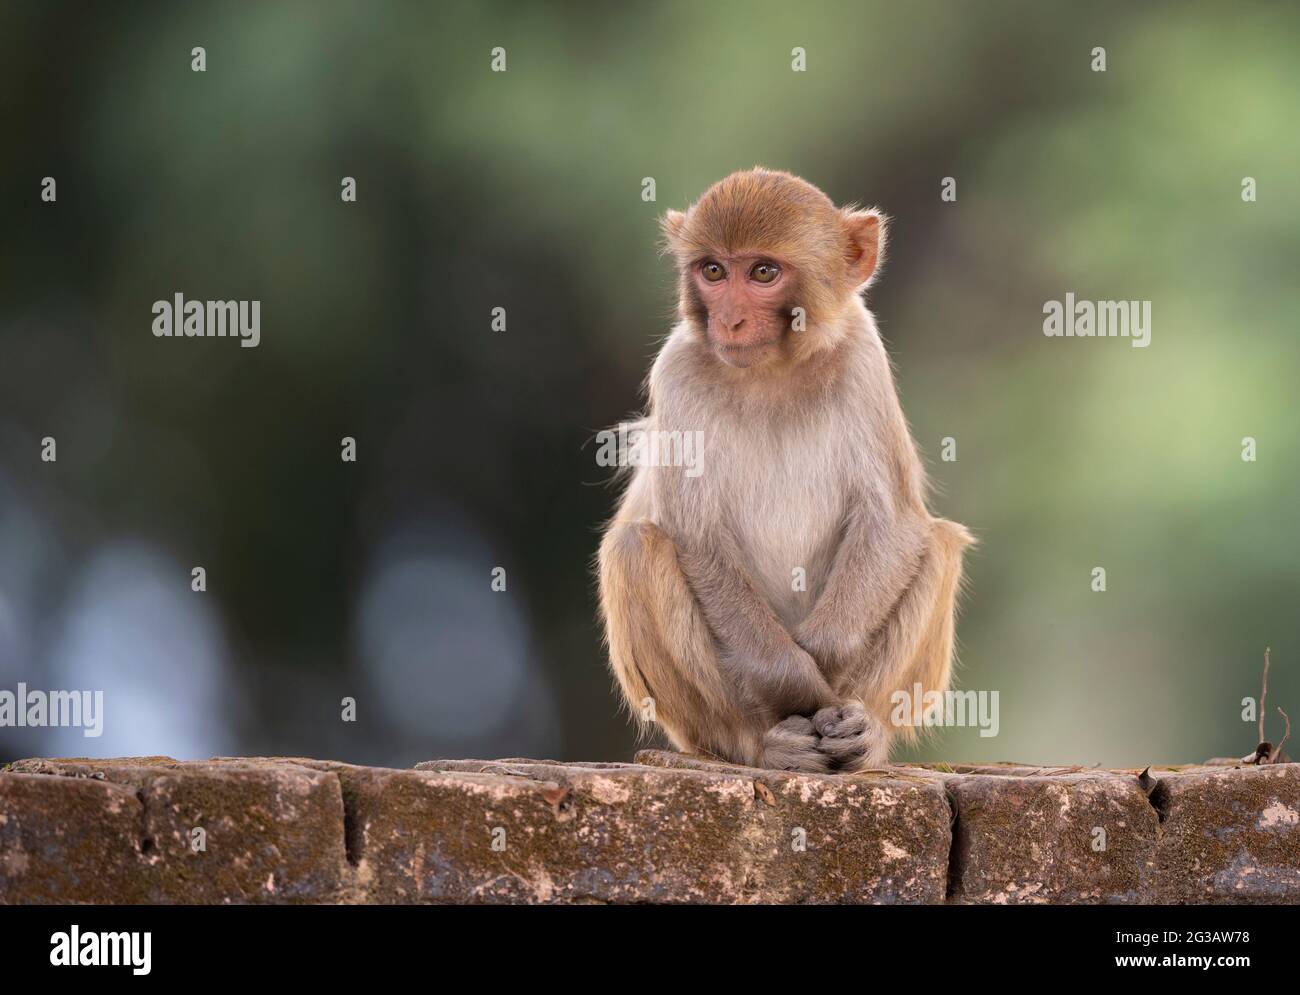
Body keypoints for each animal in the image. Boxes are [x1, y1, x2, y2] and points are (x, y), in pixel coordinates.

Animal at [597, 167, 972, 773]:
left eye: (764, 272)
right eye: (713, 270)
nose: (729, 320)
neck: (773, 369)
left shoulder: (862, 354)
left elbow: (892, 523)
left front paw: (822, 677)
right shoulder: (677, 368)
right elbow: (698, 537)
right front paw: (797, 684)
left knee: (937, 542)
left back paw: (864, 732)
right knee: (634, 548)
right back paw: (762, 742)